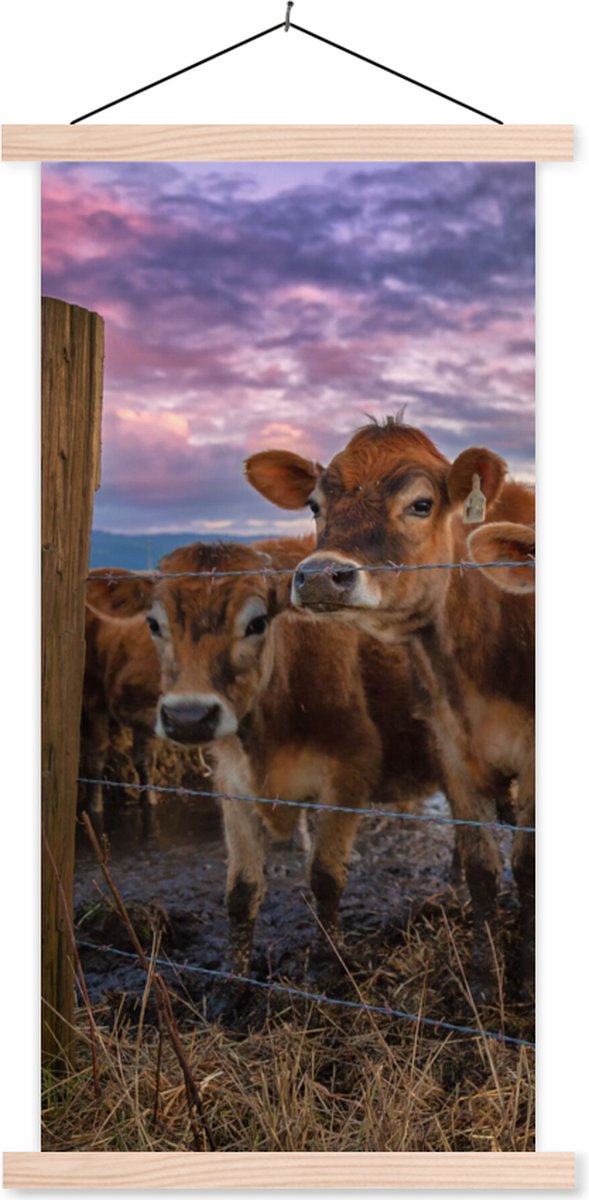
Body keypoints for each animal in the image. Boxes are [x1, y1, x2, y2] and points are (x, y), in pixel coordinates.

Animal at [244, 419, 535, 1001]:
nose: (319, 576)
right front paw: (484, 977)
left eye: (421, 504)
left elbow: (530, 866)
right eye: (314, 504)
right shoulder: (449, 745)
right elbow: (483, 868)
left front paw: (531, 977)